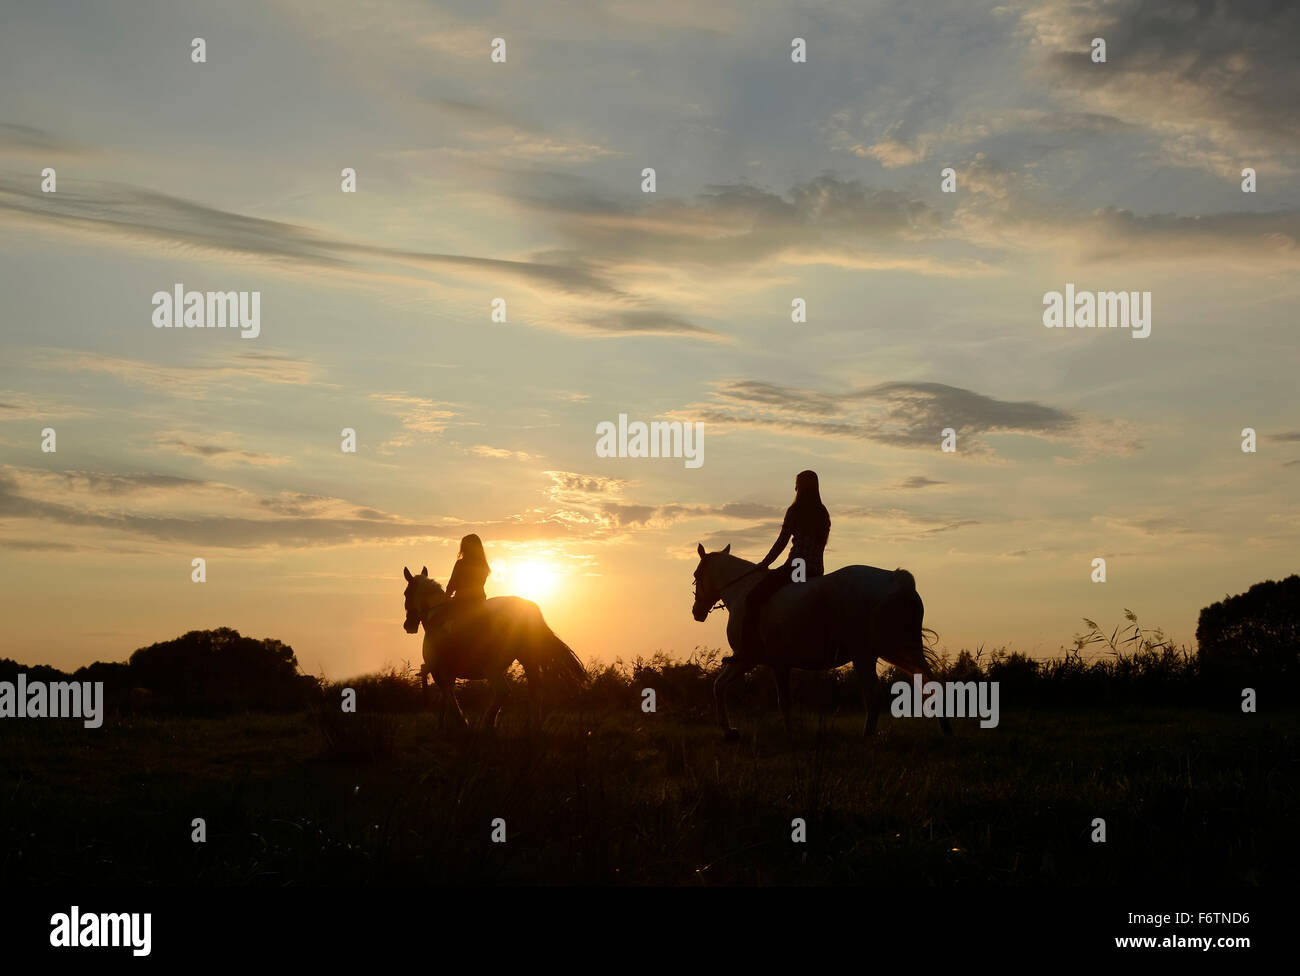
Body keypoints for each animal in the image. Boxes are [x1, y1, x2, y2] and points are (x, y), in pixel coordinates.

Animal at [401, 565, 586, 729]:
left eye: (406, 593)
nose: (408, 626)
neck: (436, 616)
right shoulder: (447, 672)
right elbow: (445, 699)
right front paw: (443, 725)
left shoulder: (438, 669)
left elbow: (449, 697)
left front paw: (461, 723)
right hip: (527, 661)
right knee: (536, 692)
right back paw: (533, 728)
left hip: (493, 667)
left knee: (503, 691)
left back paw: (487, 723)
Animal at [691, 543, 952, 740]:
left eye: (696, 575)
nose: (696, 612)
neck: (743, 592)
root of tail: (897, 580)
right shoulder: (778, 664)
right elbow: (782, 701)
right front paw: (787, 733)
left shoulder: (747, 659)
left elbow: (720, 687)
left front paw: (730, 731)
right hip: (902, 650)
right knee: (931, 683)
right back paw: (945, 730)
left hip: (866, 655)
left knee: (874, 695)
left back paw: (867, 737)